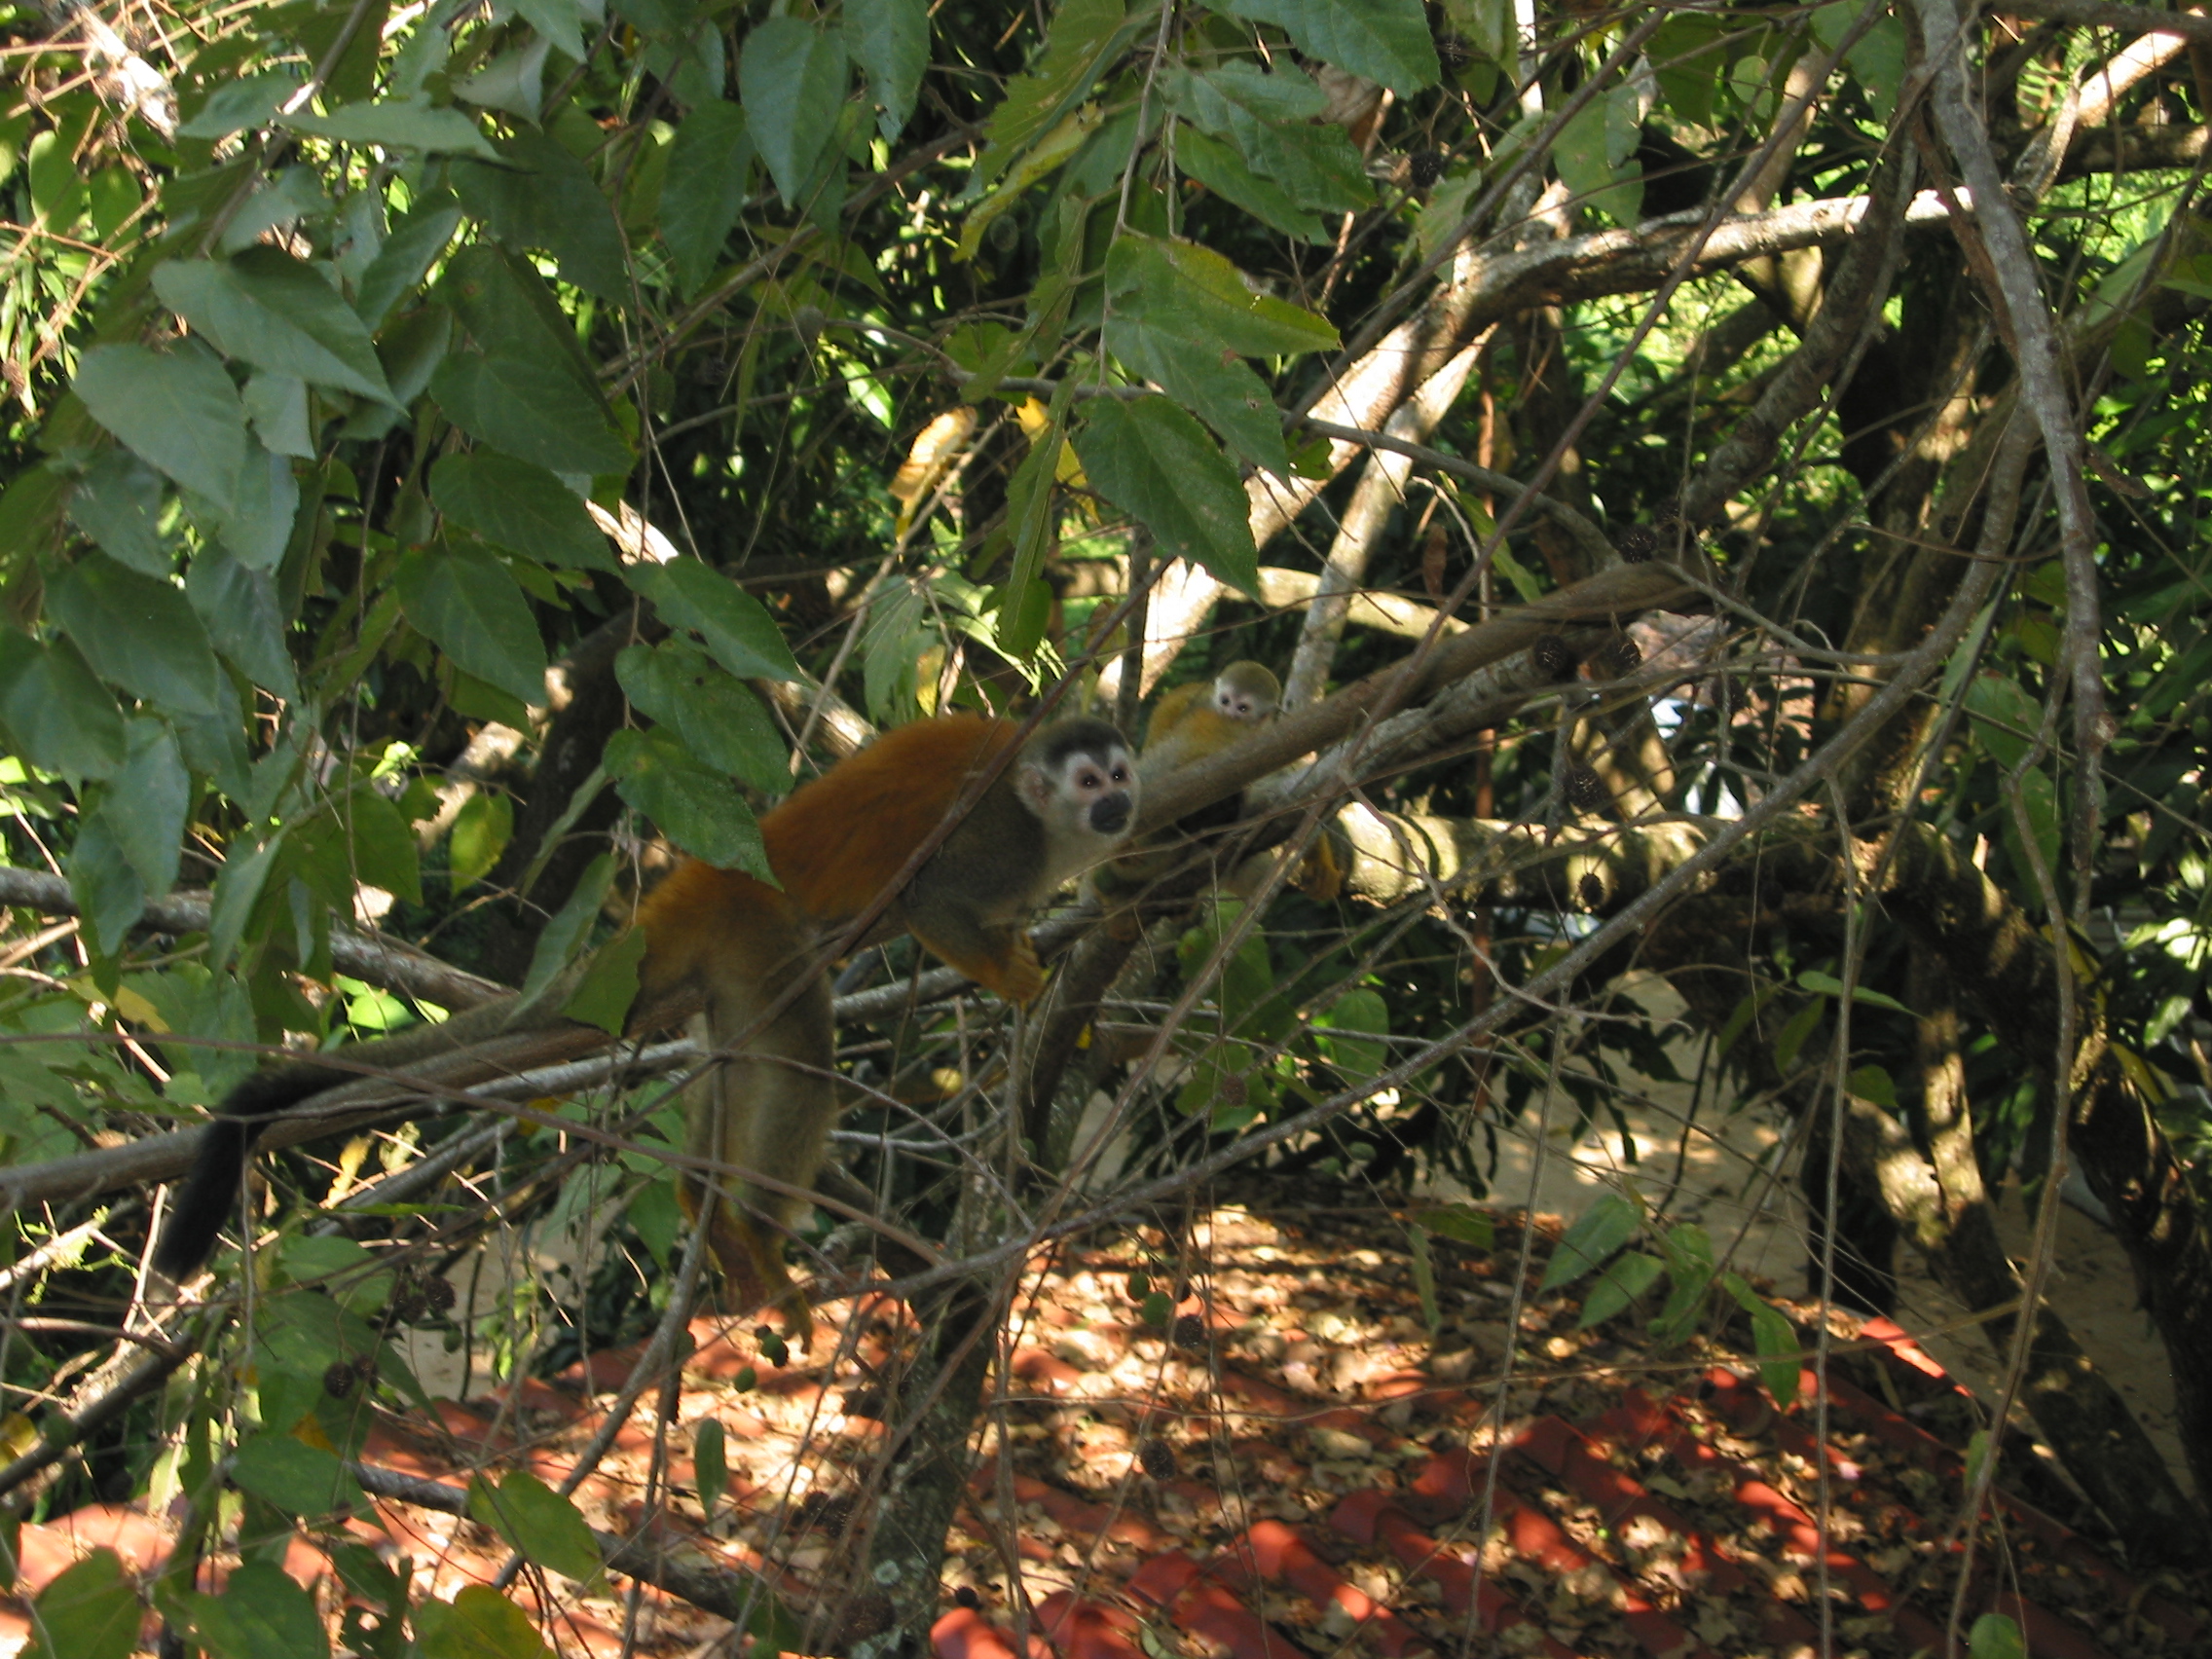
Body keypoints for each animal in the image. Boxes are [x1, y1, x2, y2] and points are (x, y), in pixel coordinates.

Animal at [153, 713, 1139, 1345]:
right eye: (1090, 782)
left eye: (1121, 775)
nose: (1119, 805)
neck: (1048, 823)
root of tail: (708, 874)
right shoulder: (1001, 842)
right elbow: (931, 898)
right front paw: (1013, 975)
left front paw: (1066, 931)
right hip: (761, 934)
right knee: (802, 1068)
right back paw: (758, 1237)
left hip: (728, 970)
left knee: (738, 1066)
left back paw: (710, 1210)